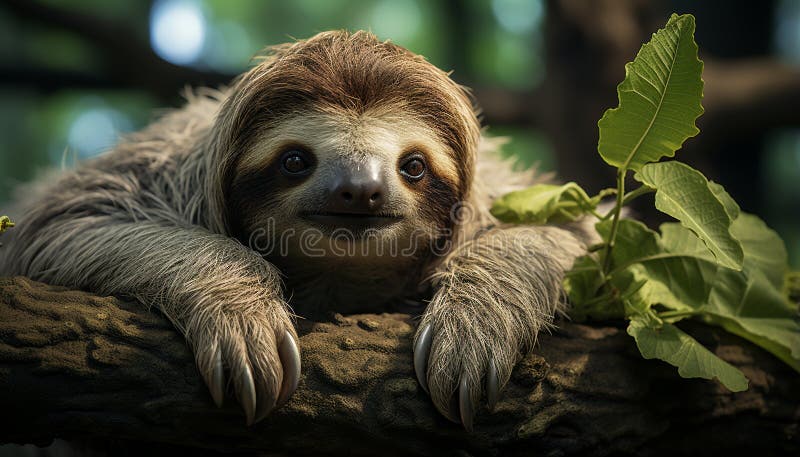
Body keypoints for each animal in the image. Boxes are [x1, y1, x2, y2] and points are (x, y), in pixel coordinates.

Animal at [0, 31, 591, 430]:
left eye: (414, 166)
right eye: (294, 161)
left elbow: (570, 230)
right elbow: (60, 219)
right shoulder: (166, 167)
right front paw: (243, 316)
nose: (359, 188)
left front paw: (474, 326)